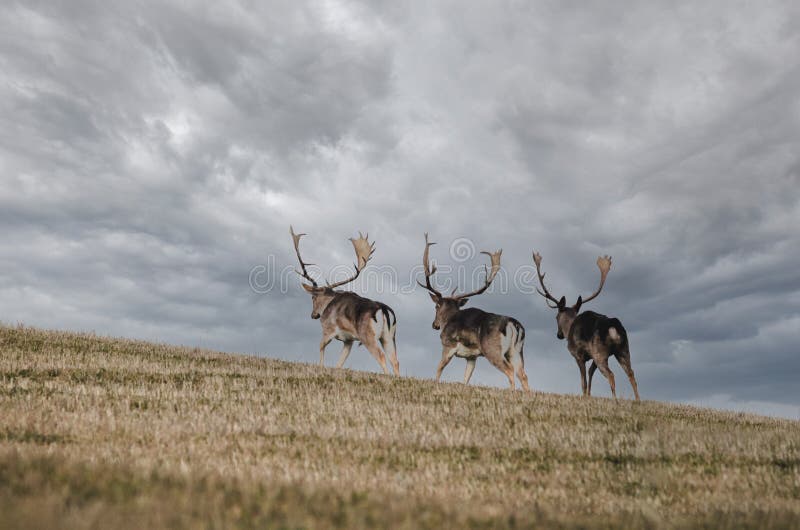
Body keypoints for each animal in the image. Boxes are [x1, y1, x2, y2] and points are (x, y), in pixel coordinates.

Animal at [290, 226, 400, 376]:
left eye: (313, 297)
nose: (314, 315)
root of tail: (384, 310)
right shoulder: (348, 340)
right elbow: (340, 363)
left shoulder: (328, 329)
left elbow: (321, 346)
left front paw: (320, 367)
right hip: (389, 336)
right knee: (395, 361)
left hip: (368, 336)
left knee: (382, 357)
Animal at [417, 233, 530, 391]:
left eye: (436, 306)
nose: (434, 325)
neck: (449, 319)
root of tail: (514, 325)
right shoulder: (472, 357)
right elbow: (466, 378)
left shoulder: (448, 345)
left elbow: (439, 369)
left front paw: (435, 385)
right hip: (517, 351)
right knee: (523, 375)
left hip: (493, 349)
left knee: (510, 371)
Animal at [531, 251, 640, 401]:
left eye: (556, 317)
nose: (559, 335)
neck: (569, 328)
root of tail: (612, 327)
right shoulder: (592, 356)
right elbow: (590, 373)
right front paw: (589, 396)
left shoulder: (578, 354)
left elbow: (583, 381)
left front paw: (584, 396)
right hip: (623, 349)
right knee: (631, 374)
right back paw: (638, 401)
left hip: (601, 352)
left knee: (611, 375)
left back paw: (616, 401)